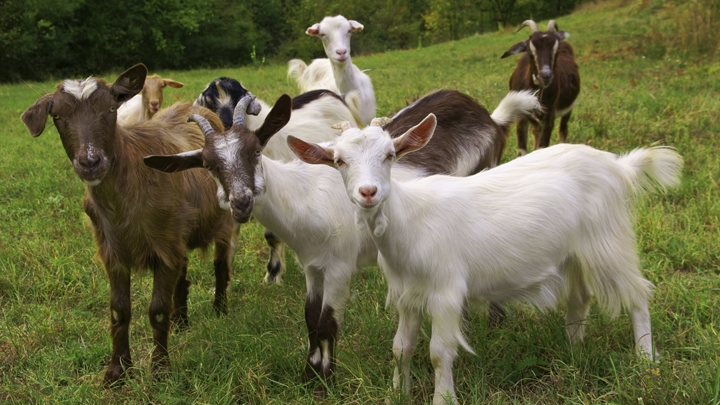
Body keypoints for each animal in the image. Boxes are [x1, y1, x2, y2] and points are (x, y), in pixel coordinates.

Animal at [19, 64, 246, 385]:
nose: (90, 162)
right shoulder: (113, 250)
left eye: (111, 109)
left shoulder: (164, 247)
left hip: (221, 220)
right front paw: (117, 370)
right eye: (58, 116)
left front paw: (160, 370)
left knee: (220, 265)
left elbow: (157, 310)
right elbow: (119, 311)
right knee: (183, 274)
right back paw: (181, 322)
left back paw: (219, 310)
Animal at [144, 90, 540, 390]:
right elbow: (309, 317)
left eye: (256, 150)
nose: (240, 202)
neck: (304, 196)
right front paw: (309, 375)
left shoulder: (339, 265)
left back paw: (494, 322)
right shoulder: (313, 265)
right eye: (209, 165)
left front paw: (325, 380)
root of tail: (489, 117)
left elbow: (327, 321)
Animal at [289, 115, 682, 404]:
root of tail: (618, 165)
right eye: (339, 161)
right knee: (581, 296)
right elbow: (401, 348)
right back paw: (573, 349)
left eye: (390, 154)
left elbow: (439, 351)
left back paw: (646, 360)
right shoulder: (408, 294)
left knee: (637, 294)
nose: (368, 192)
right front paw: (396, 393)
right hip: (574, 251)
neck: (410, 221)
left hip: (607, 239)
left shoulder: (445, 291)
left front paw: (444, 399)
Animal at [501, 20, 580, 155]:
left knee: (563, 129)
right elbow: (522, 151)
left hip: (568, 108)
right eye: (529, 50)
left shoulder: (549, 115)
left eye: (557, 49)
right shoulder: (521, 117)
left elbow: (542, 146)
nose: (545, 76)